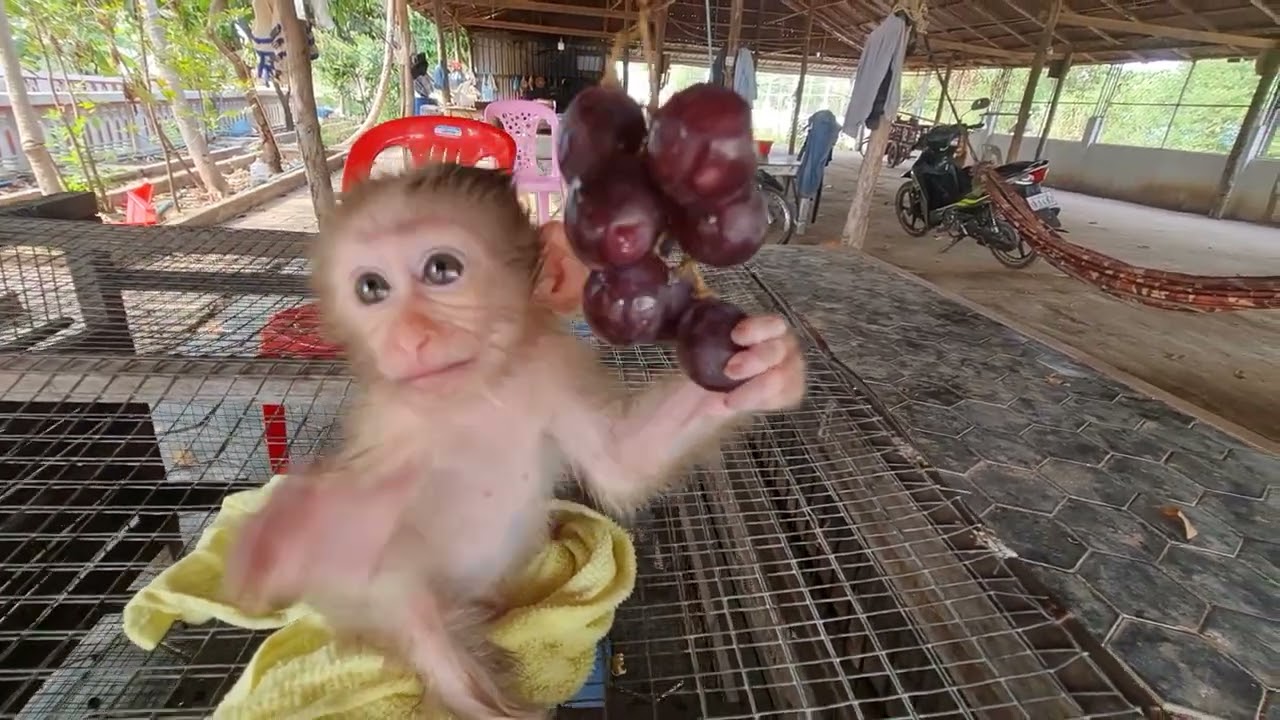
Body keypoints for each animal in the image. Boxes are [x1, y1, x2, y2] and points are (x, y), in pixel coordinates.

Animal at [224, 163, 807, 719]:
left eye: (442, 269)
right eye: (371, 288)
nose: (409, 338)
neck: (473, 399)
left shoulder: (551, 365)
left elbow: (622, 462)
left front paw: (767, 366)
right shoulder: (390, 428)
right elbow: (367, 553)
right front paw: (290, 533)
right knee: (413, 609)